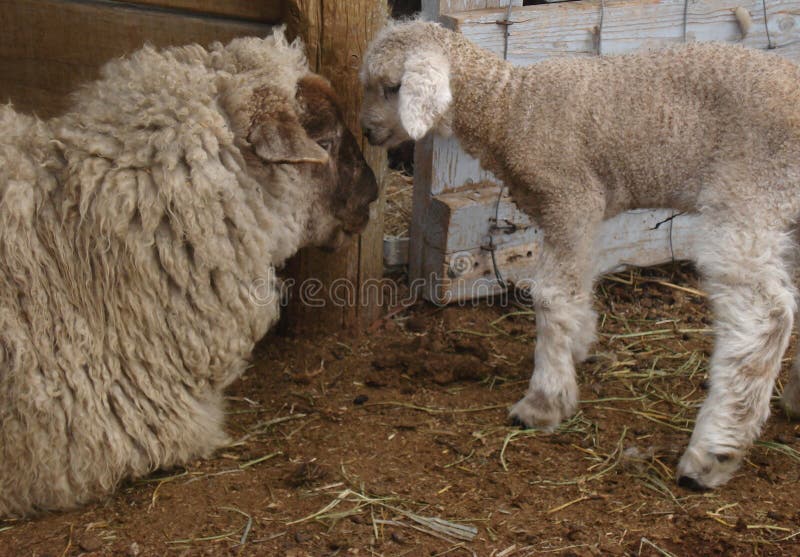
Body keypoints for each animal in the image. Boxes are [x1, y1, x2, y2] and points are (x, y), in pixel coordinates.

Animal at [360, 19, 800, 490]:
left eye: (392, 87)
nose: (366, 132)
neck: (510, 108)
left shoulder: (570, 196)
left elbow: (552, 296)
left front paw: (545, 399)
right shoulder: (583, 210)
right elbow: (578, 283)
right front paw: (578, 343)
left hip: (749, 193)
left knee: (766, 315)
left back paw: (714, 451)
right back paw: (795, 400)